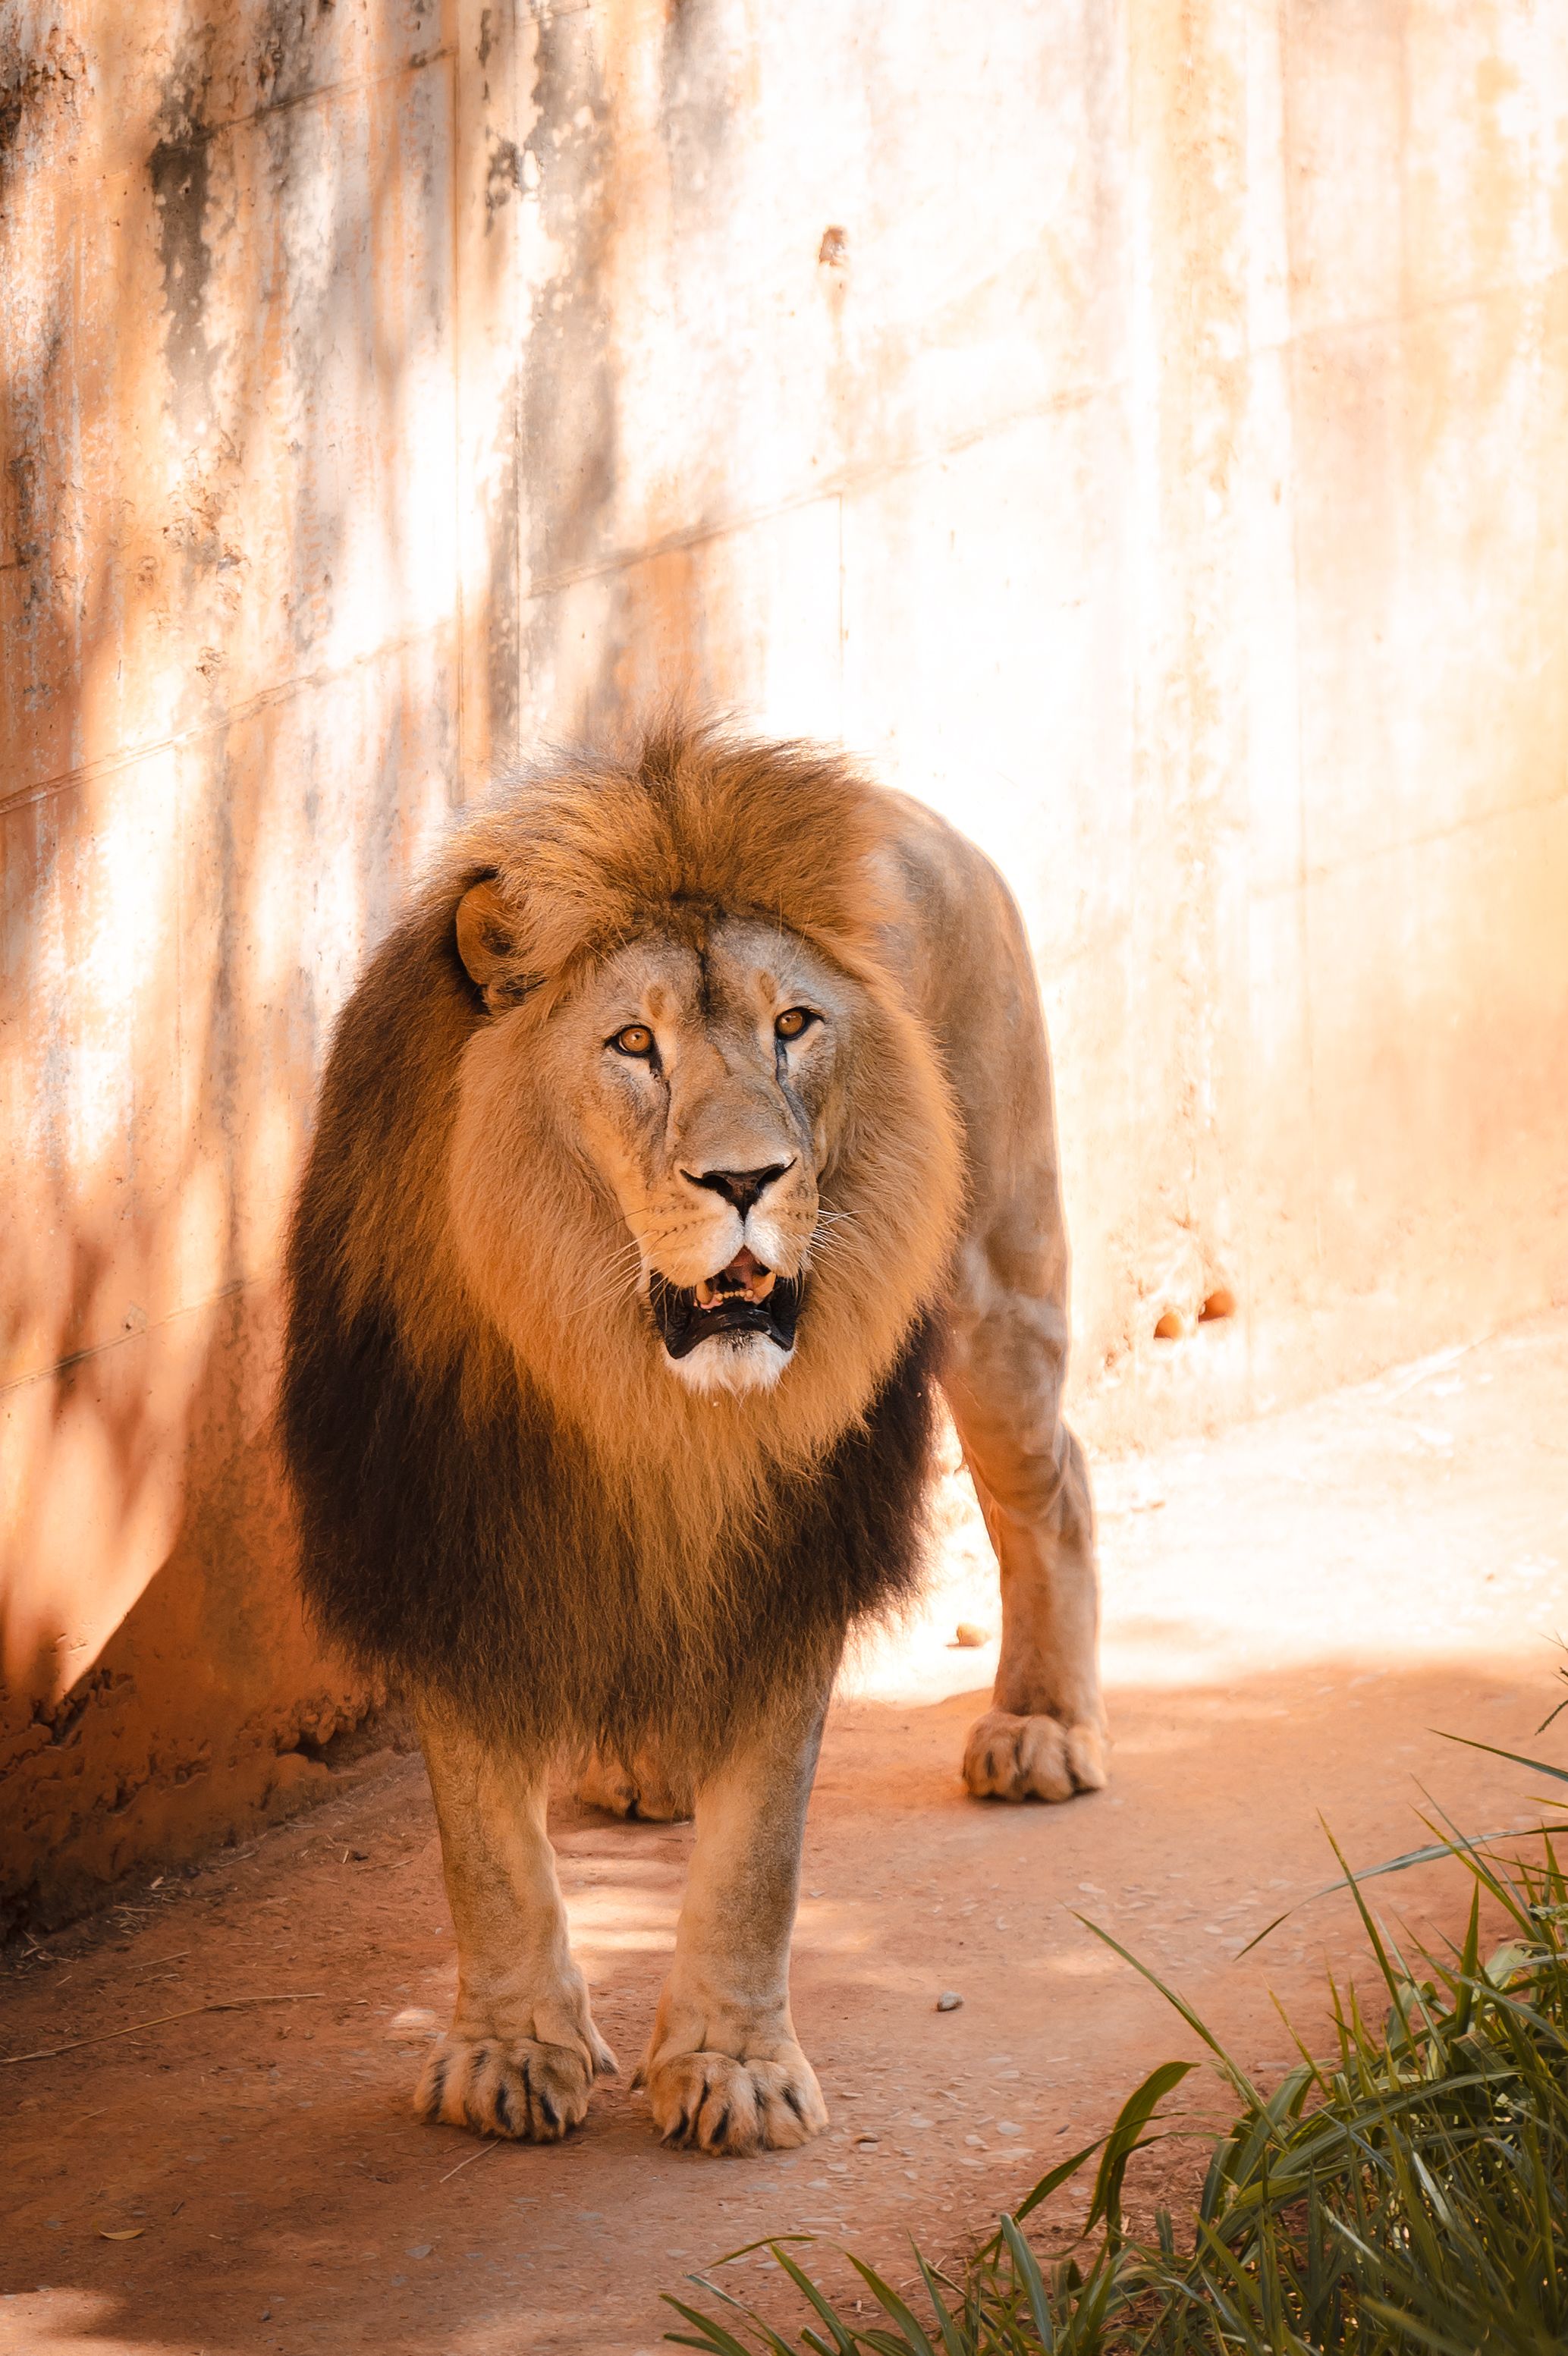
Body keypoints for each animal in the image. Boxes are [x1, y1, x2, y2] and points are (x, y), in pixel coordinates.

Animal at [280, 722, 1106, 2158]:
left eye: (791, 1026)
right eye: (632, 1043)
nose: (744, 1180)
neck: (633, 1390)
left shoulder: (801, 1547)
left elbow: (757, 1853)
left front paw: (732, 2068)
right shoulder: (442, 1526)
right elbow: (484, 1844)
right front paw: (509, 2053)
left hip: (997, 1271)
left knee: (1055, 1483)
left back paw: (1040, 1726)